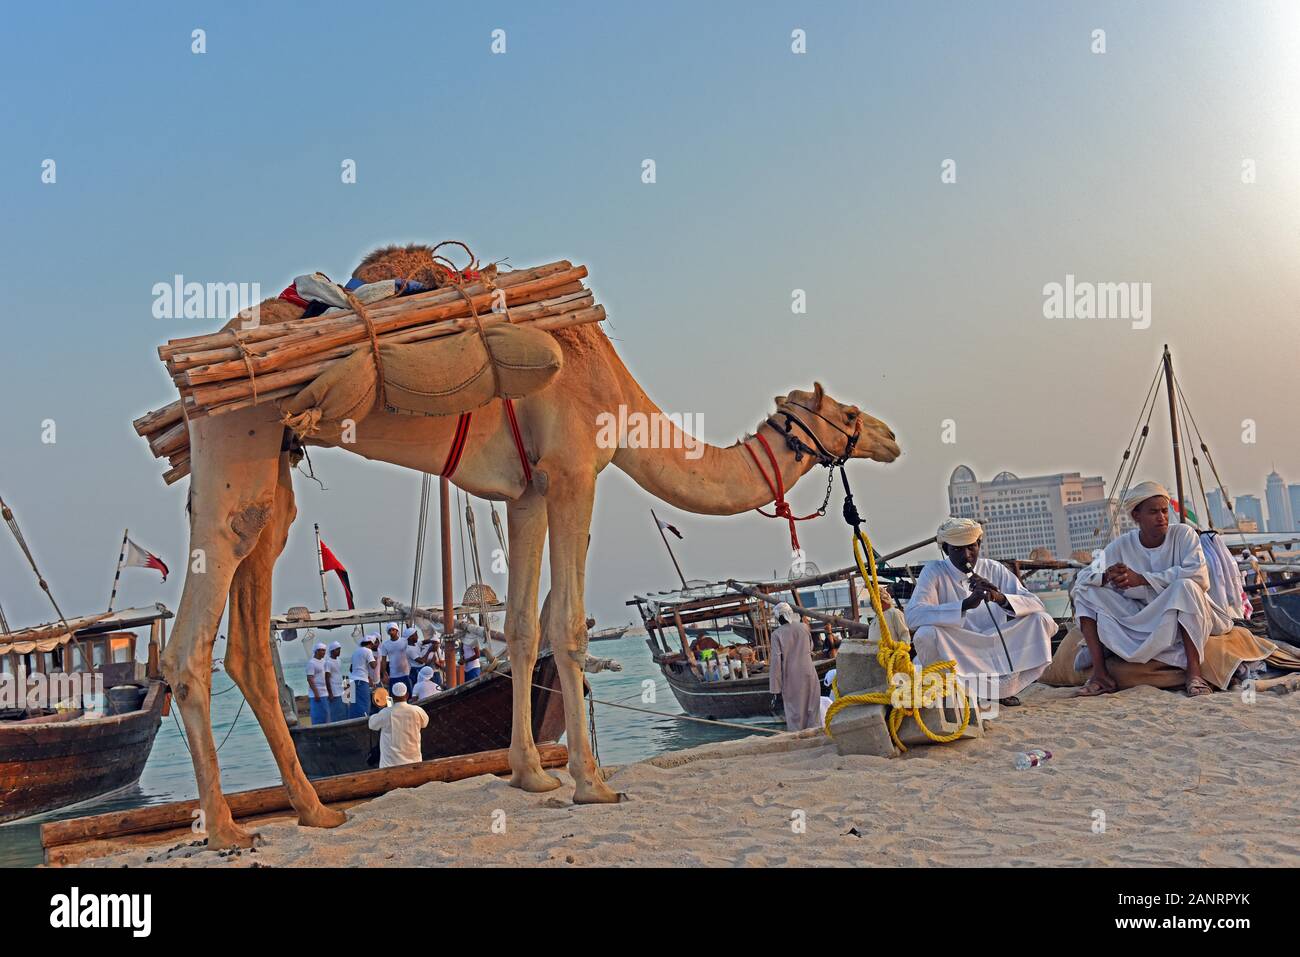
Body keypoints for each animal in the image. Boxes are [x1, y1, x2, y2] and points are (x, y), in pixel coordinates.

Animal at [160, 247, 901, 848]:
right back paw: (225, 829)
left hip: (270, 459)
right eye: (846, 412)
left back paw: (315, 811)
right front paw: (592, 784)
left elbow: (521, 628)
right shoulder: (574, 470)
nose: (890, 436)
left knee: (252, 615)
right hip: (238, 429)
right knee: (195, 627)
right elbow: (566, 624)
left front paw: (530, 776)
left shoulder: (527, 491)